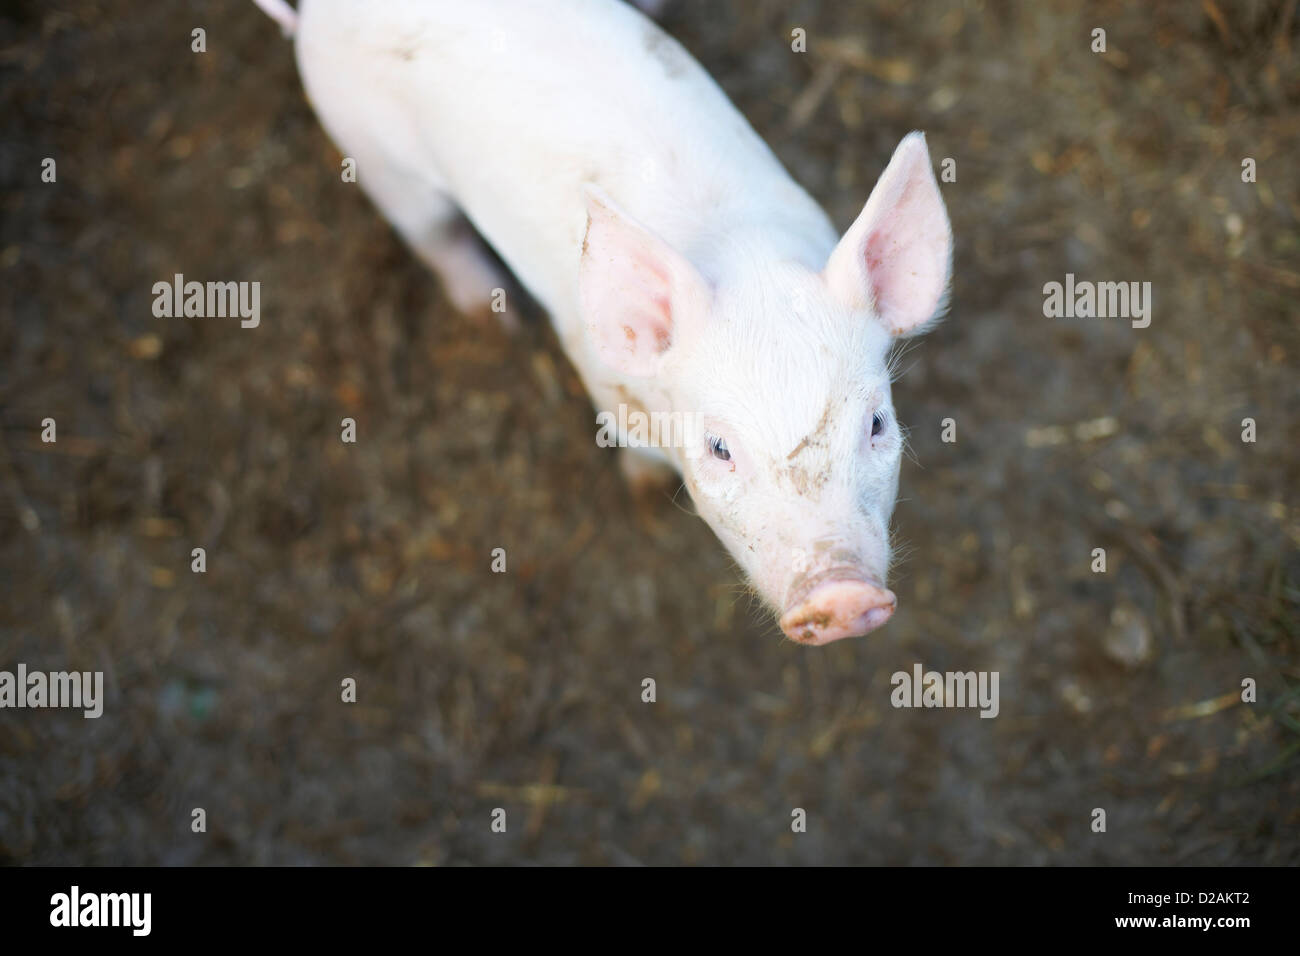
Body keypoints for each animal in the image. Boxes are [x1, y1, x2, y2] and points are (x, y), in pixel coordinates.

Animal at [252, 0, 953, 644]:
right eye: (719, 447)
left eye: (877, 423)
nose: (841, 594)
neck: (745, 257)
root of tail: (313, 15)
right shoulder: (602, 382)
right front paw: (644, 494)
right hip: (378, 161)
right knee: (434, 236)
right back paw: (494, 320)